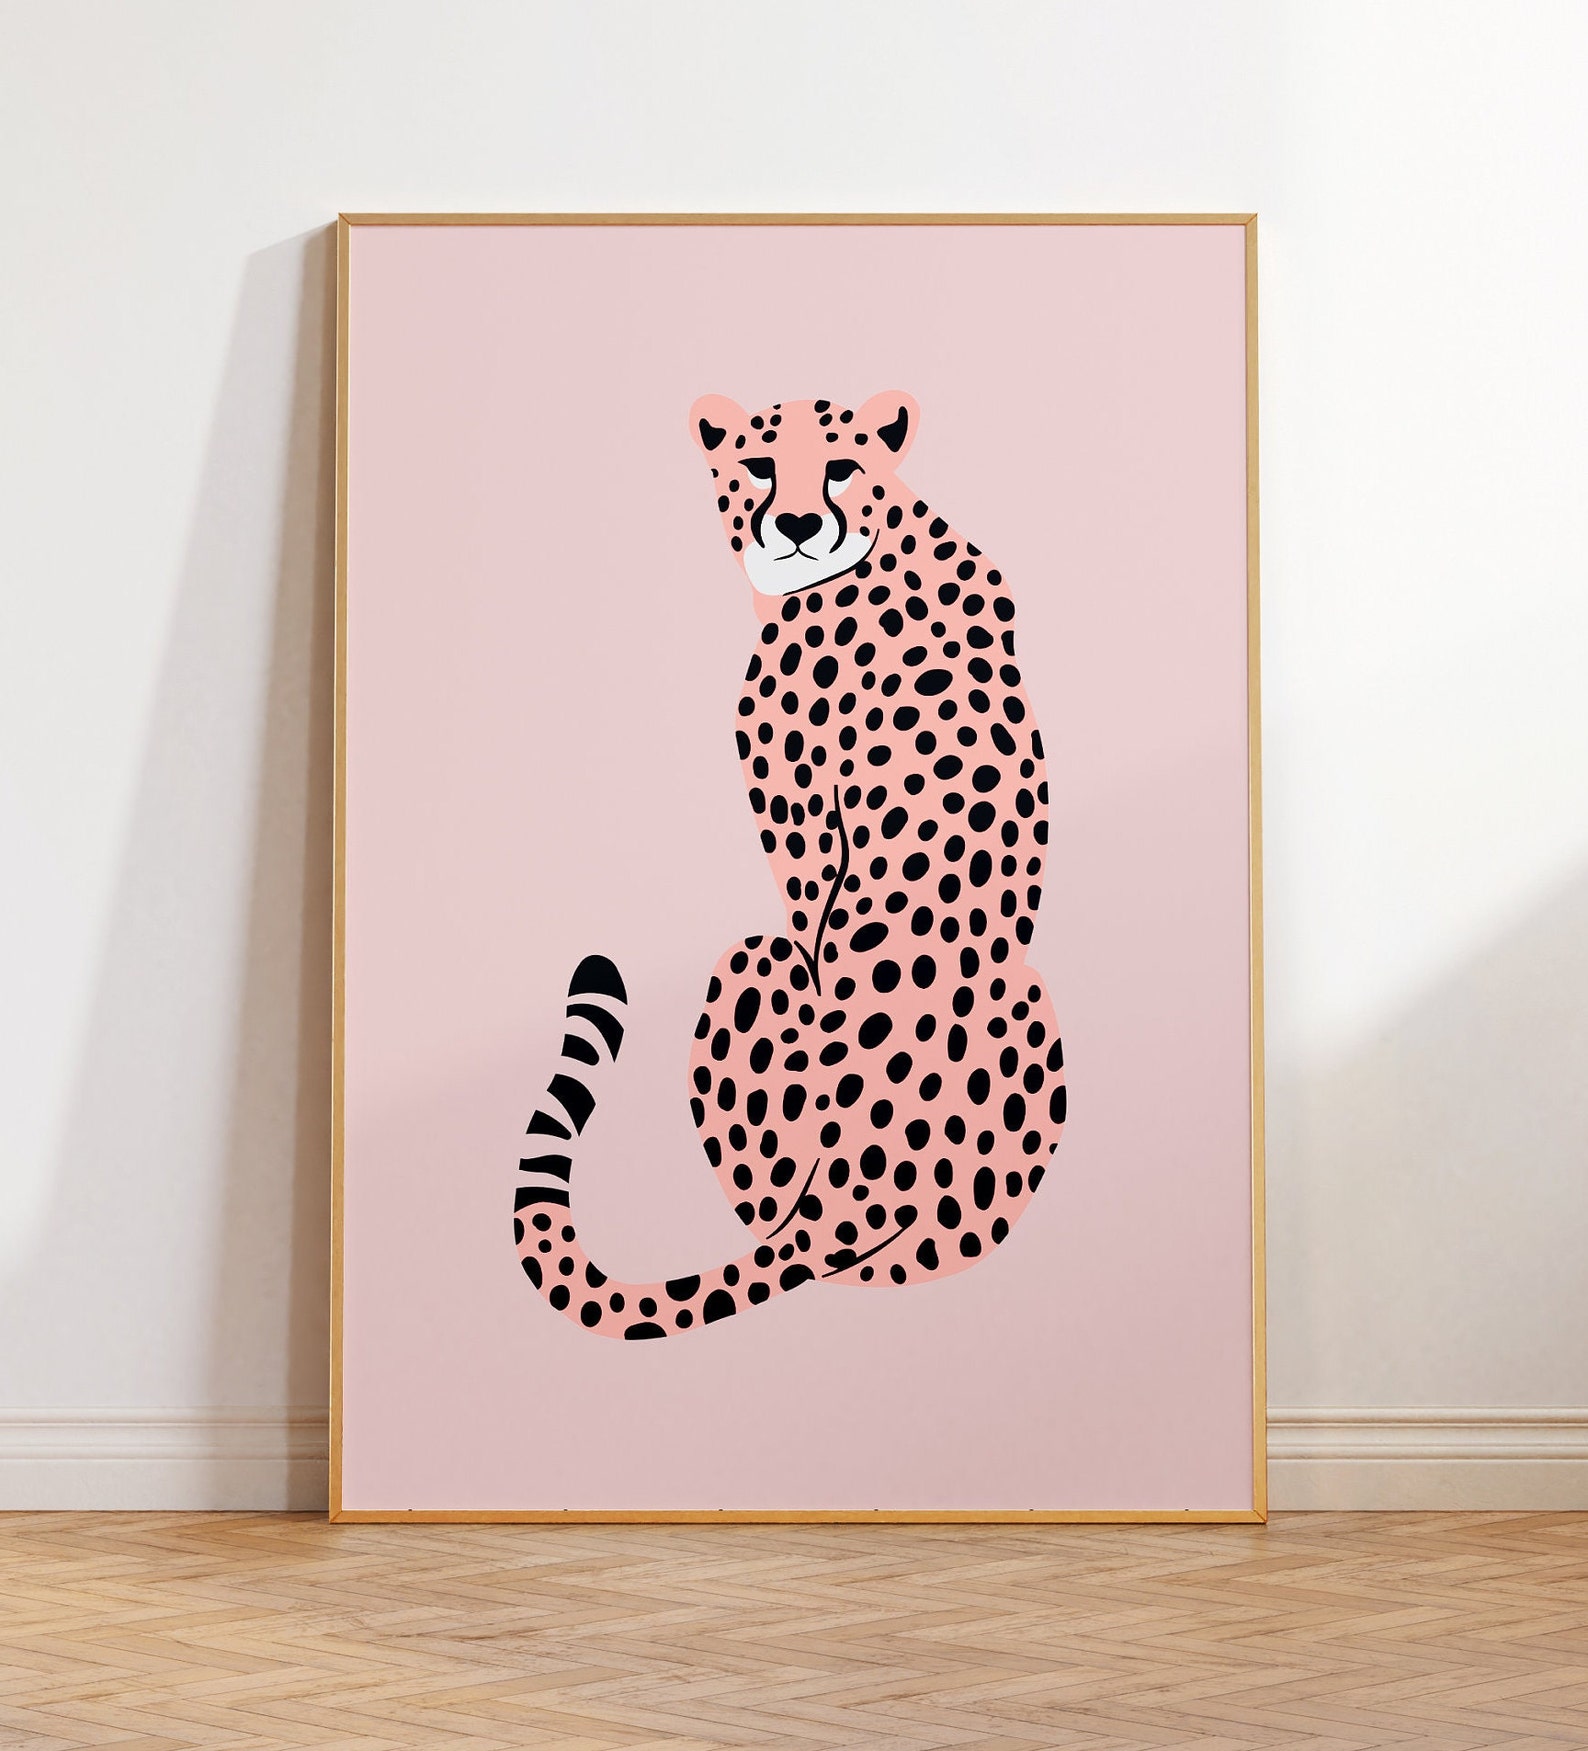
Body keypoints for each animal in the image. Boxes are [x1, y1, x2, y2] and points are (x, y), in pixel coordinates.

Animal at [513, 392, 1065, 1338]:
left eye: (839, 466)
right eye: (760, 465)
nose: (800, 524)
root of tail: (849, 1192)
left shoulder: (801, 832)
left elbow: (809, 909)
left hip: (750, 958)